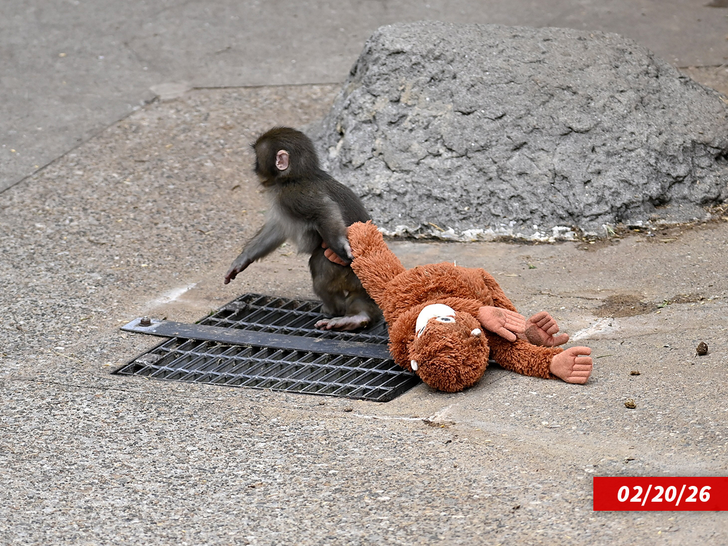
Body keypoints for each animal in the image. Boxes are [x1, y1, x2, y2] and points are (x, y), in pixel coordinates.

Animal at [224, 126, 381, 331]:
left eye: (257, 158)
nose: (254, 167)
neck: (294, 177)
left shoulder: (292, 195)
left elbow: (324, 210)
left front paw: (342, 245)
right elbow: (277, 229)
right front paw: (243, 259)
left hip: (346, 271)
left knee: (319, 265)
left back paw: (334, 308)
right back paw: (357, 317)